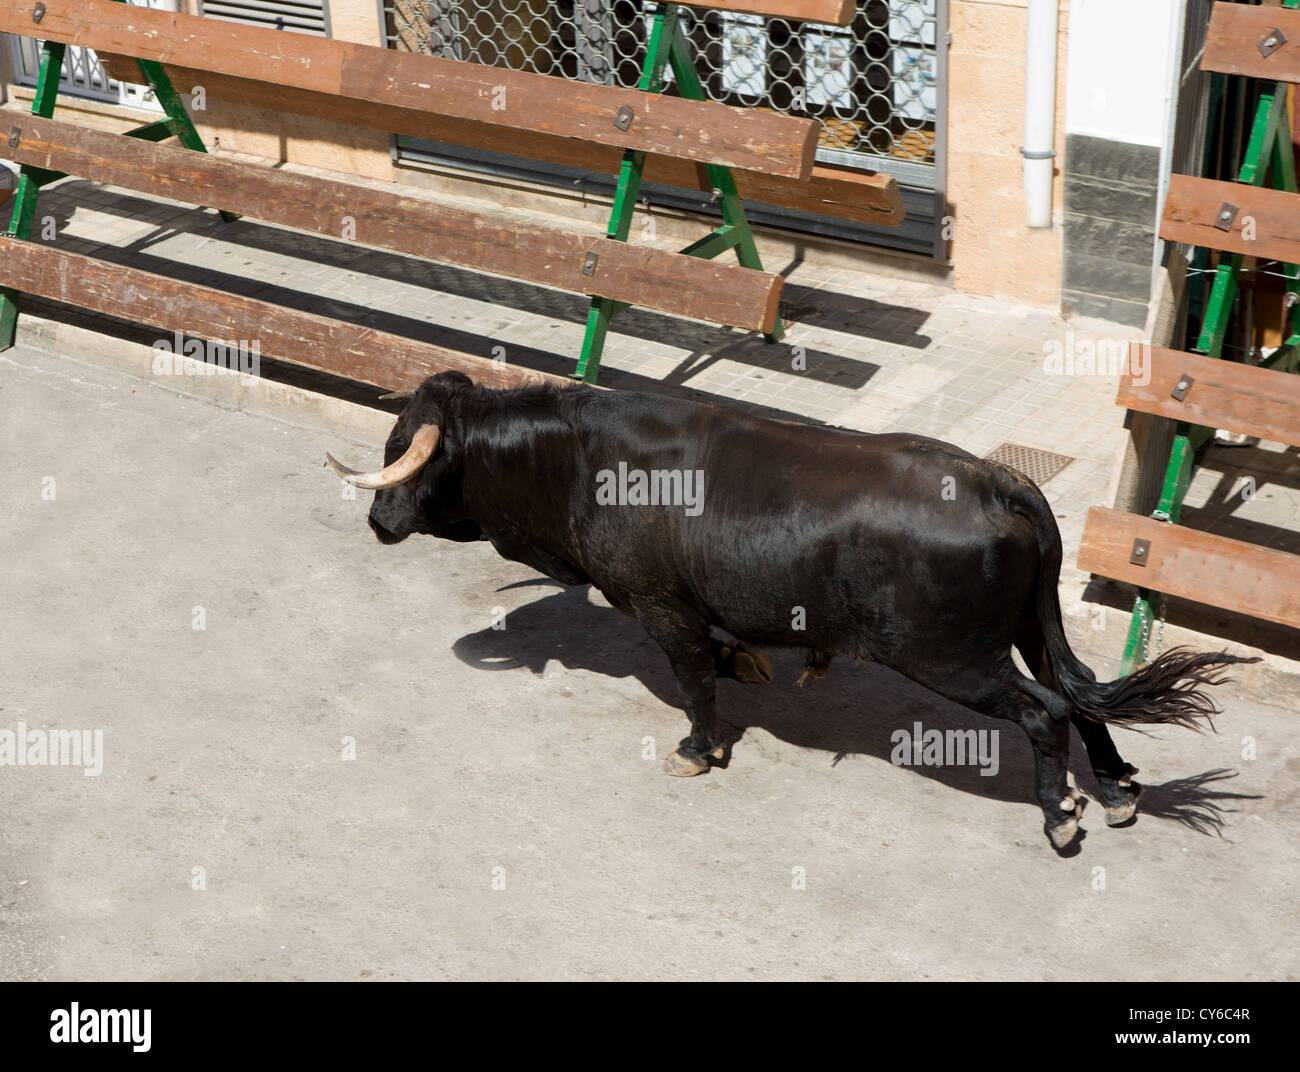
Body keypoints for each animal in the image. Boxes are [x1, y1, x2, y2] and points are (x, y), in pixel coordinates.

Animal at [327, 371, 1255, 852]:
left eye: (403, 449)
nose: (376, 521)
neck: (576, 457)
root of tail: (999, 480)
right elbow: (720, 660)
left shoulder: (661, 608)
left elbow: (694, 682)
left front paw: (697, 751)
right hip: (1029, 624)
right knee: (1081, 685)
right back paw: (1117, 790)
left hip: (952, 657)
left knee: (1045, 707)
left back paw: (1061, 816)